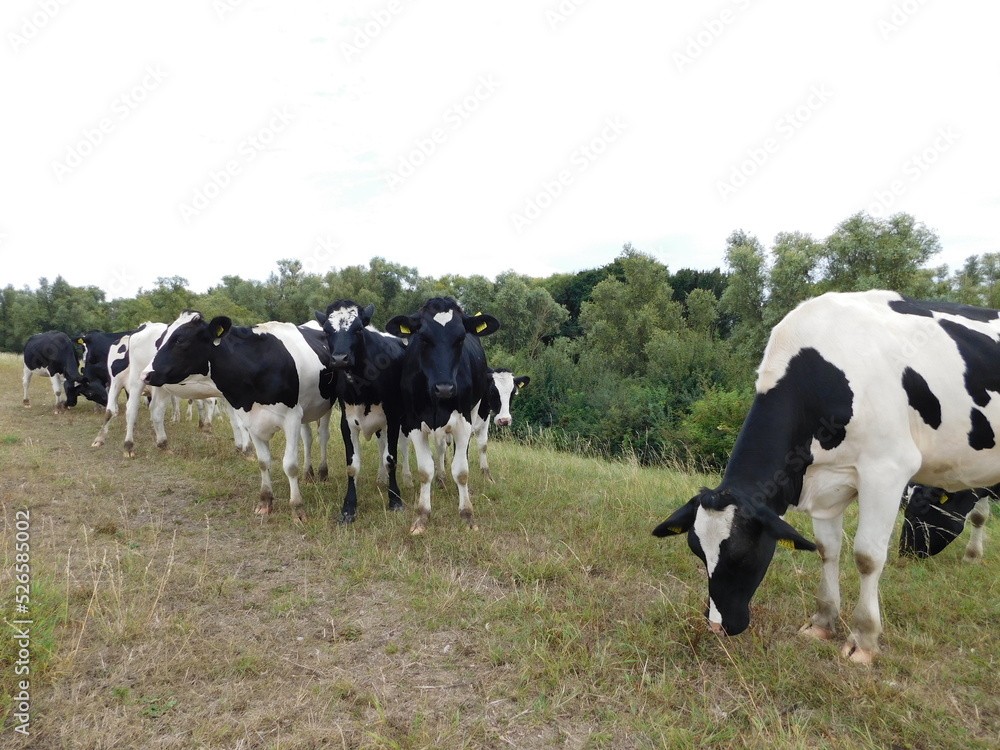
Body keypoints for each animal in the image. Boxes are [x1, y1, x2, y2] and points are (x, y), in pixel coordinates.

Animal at [141, 311, 336, 521]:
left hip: (324, 406)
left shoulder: (291, 418)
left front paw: (297, 509)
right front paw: (265, 502)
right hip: (306, 411)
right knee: (307, 438)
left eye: (180, 340)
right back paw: (309, 474)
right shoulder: (252, 419)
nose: (145, 375)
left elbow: (290, 465)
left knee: (322, 436)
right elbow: (263, 462)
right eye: (159, 340)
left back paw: (323, 473)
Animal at [315, 300, 411, 524]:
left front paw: (395, 500)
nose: (340, 358)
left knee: (403, 446)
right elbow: (352, 465)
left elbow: (391, 459)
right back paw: (381, 477)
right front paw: (349, 507)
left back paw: (407, 478)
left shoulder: (393, 418)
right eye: (327, 331)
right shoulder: (347, 422)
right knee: (381, 444)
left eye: (358, 328)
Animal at [385, 297, 500, 534]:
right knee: (439, 449)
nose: (445, 388)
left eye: (461, 338)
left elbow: (462, 471)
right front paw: (422, 516)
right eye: (423, 338)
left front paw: (467, 514)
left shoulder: (463, 421)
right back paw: (440, 478)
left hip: (475, 411)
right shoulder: (414, 422)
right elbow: (425, 470)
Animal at [653, 290, 1000, 664]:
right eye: (698, 552)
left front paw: (864, 640)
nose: (717, 626)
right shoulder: (824, 480)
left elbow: (867, 557)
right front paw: (822, 622)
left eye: (742, 555)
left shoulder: (887, 469)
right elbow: (826, 549)